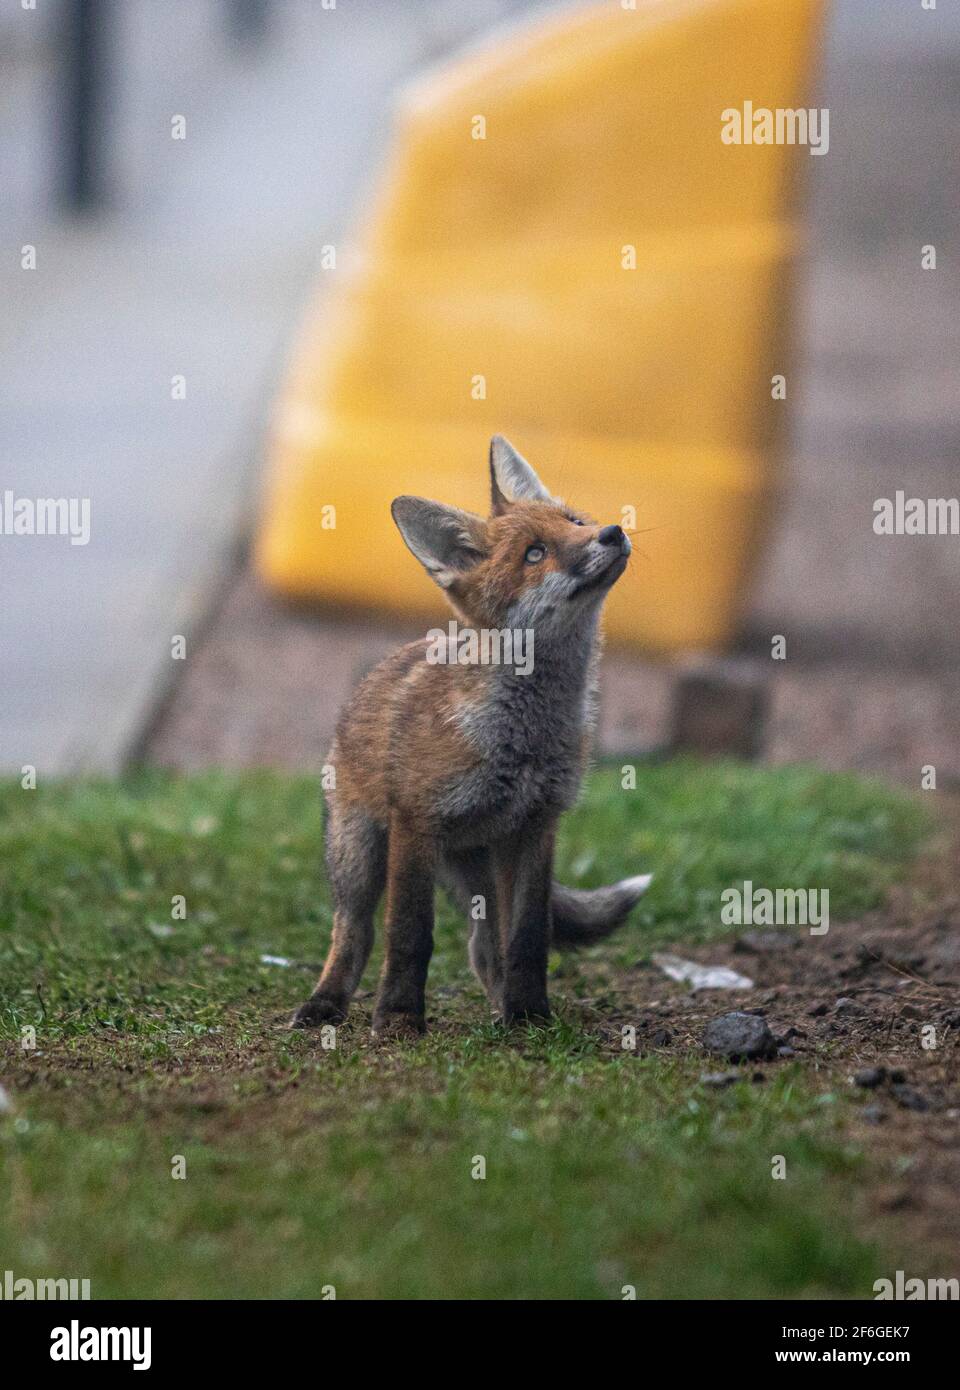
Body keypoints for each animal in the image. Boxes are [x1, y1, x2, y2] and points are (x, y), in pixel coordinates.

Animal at [291, 436, 651, 1038]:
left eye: (575, 522)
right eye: (534, 554)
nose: (611, 532)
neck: (522, 740)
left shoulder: (535, 827)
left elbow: (528, 939)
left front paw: (530, 1016)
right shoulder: (415, 825)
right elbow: (410, 935)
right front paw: (398, 1019)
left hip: (480, 864)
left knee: (485, 946)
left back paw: (504, 1008)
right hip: (357, 852)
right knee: (354, 931)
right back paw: (326, 1002)